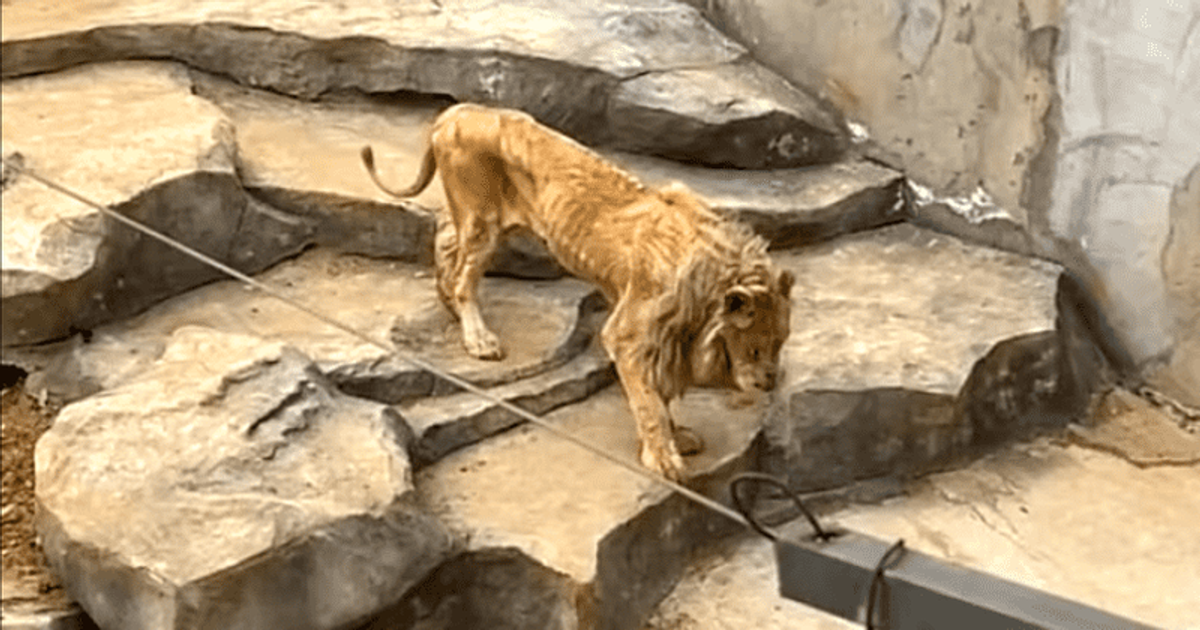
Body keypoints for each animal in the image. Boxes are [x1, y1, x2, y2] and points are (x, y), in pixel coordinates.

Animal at [362, 103, 793, 481]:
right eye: (757, 347)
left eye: (781, 342)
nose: (771, 383)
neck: (711, 281)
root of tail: (458, 111)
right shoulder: (628, 334)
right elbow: (649, 400)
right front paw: (664, 459)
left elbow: (658, 392)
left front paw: (677, 437)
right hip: (481, 219)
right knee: (464, 276)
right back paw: (479, 339)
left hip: (478, 221)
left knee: (445, 240)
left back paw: (449, 301)